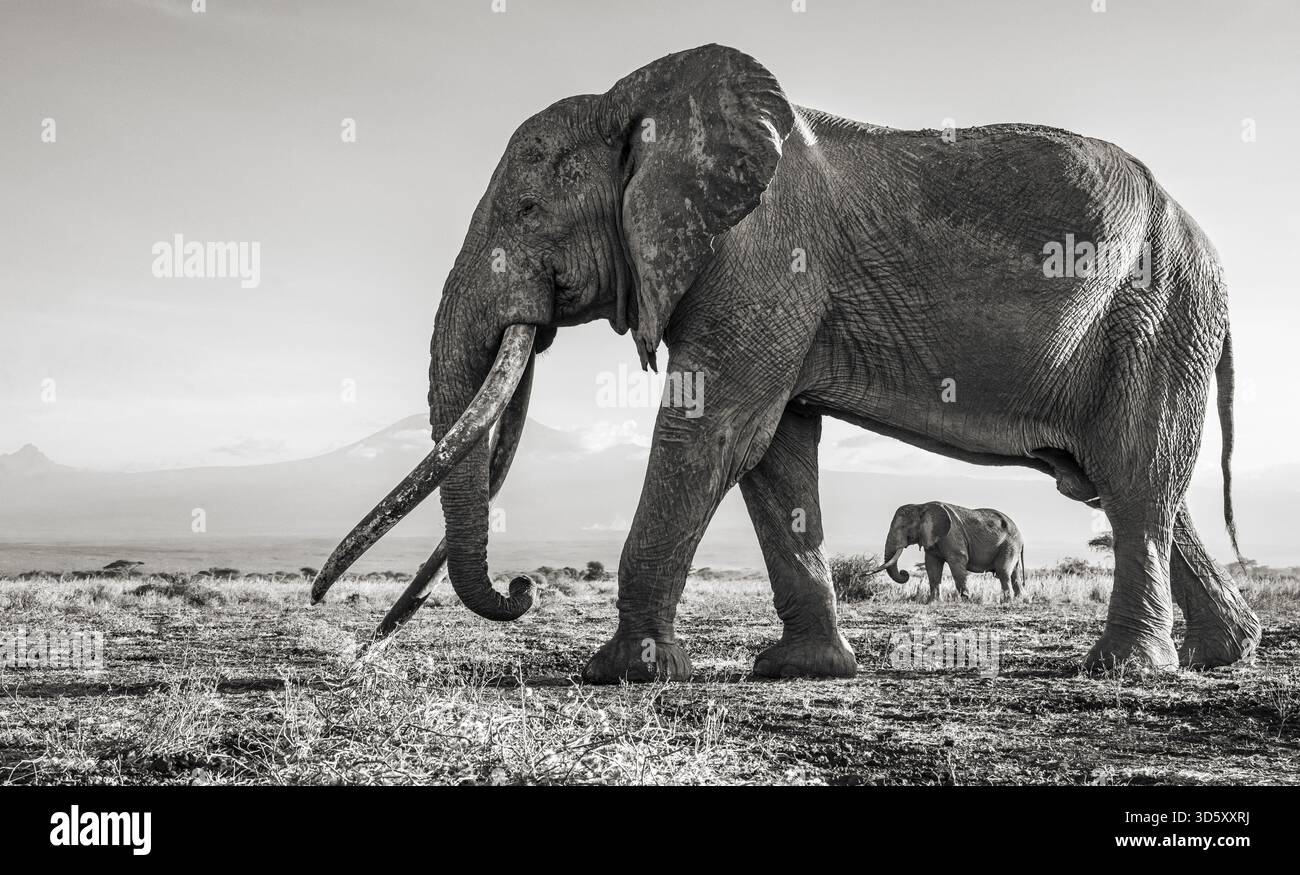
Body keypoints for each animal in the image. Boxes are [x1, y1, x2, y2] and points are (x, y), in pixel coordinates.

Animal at [870, 502, 1026, 602]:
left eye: (903, 527)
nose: (904, 573)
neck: (921, 506)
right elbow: (932, 566)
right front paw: (933, 602)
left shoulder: (952, 535)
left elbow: (957, 560)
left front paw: (966, 599)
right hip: (1012, 546)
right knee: (1014, 574)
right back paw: (1020, 600)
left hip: (1009, 544)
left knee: (1003, 572)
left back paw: (1007, 601)